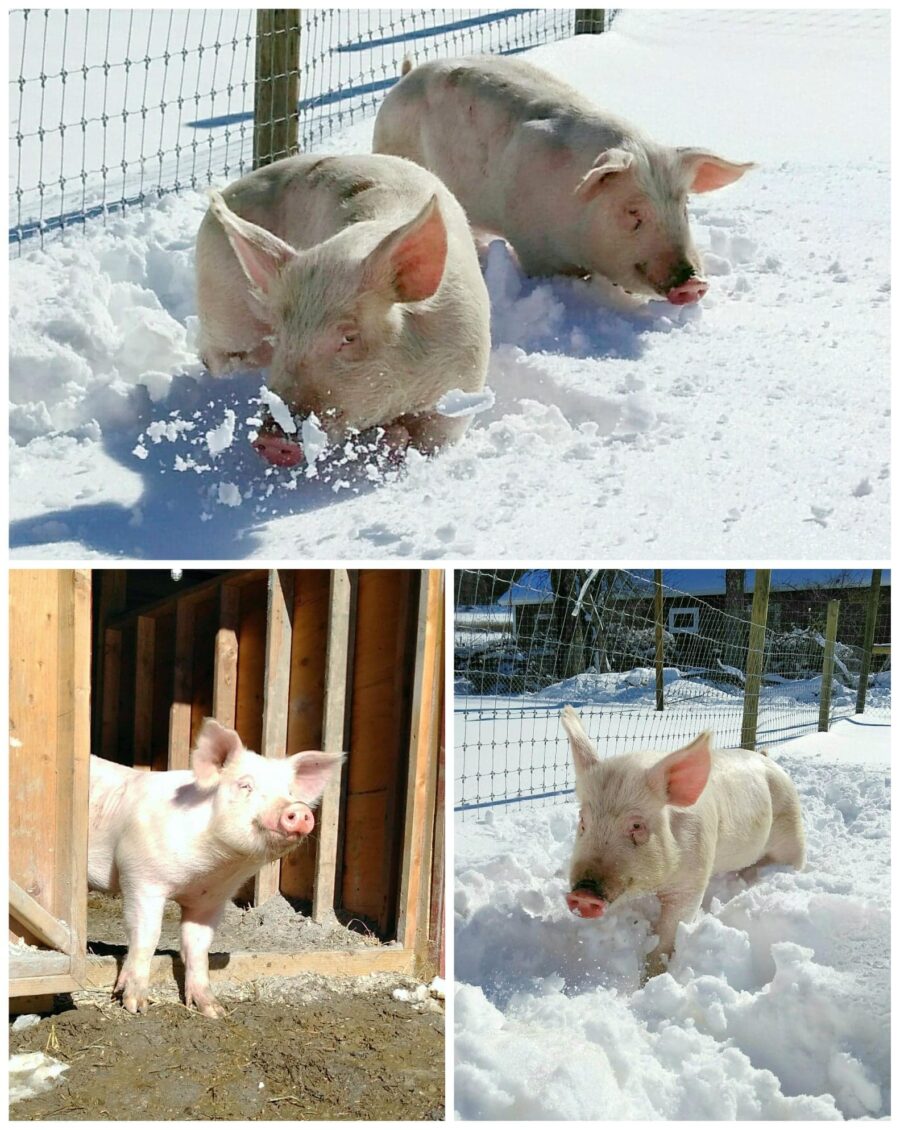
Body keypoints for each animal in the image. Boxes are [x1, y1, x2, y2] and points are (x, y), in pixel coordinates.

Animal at [88, 718, 344, 1018]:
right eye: (245, 785)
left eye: (290, 791)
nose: (300, 810)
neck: (213, 867)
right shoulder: (140, 877)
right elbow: (147, 937)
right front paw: (135, 1006)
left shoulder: (211, 899)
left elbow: (198, 947)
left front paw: (214, 1010)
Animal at [195, 154, 491, 465]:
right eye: (282, 334)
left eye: (349, 337)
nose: (272, 440)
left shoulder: (463, 380)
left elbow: (435, 438)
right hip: (222, 308)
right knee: (214, 357)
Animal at [560, 706, 805, 978]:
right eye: (583, 820)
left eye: (637, 826)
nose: (583, 894)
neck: (656, 885)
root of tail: (768, 759)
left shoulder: (693, 877)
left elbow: (670, 931)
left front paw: (650, 979)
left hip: (791, 827)